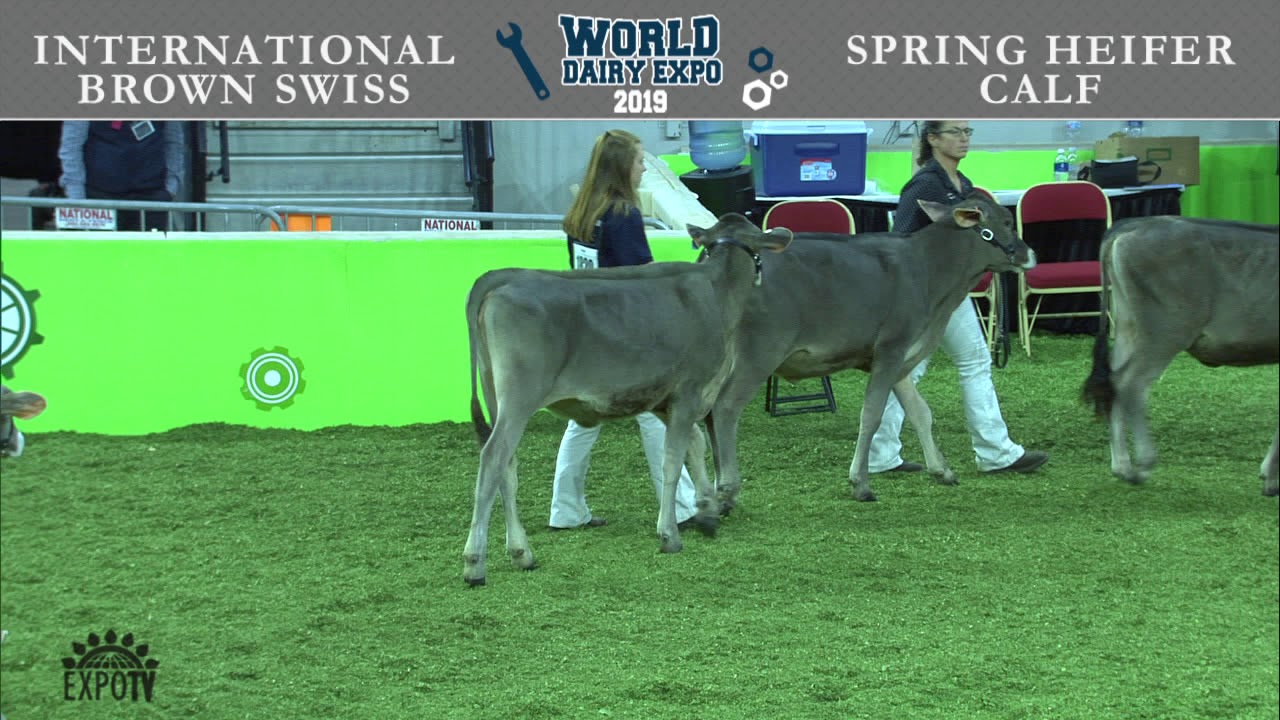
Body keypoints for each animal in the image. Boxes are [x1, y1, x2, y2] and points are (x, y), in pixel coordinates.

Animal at [462, 214, 793, 586]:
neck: (716, 293)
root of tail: (504, 276)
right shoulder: (690, 391)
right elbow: (672, 461)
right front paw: (669, 534)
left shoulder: (666, 401)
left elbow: (695, 446)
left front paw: (706, 509)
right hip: (519, 397)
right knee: (493, 458)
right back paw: (475, 564)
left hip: (494, 394)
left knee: (507, 465)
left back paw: (522, 553)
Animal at [702, 194, 1036, 511]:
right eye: (1007, 222)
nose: (1030, 254)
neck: (931, 276)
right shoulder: (891, 349)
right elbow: (872, 415)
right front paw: (860, 483)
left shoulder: (902, 358)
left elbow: (920, 412)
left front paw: (942, 470)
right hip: (759, 353)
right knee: (725, 408)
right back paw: (728, 490)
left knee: (707, 413)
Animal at [1081, 216, 1279, 495]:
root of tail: (1135, 224)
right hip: (1165, 332)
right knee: (1130, 383)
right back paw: (1142, 465)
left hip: (1129, 326)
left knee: (1113, 380)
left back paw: (1122, 466)